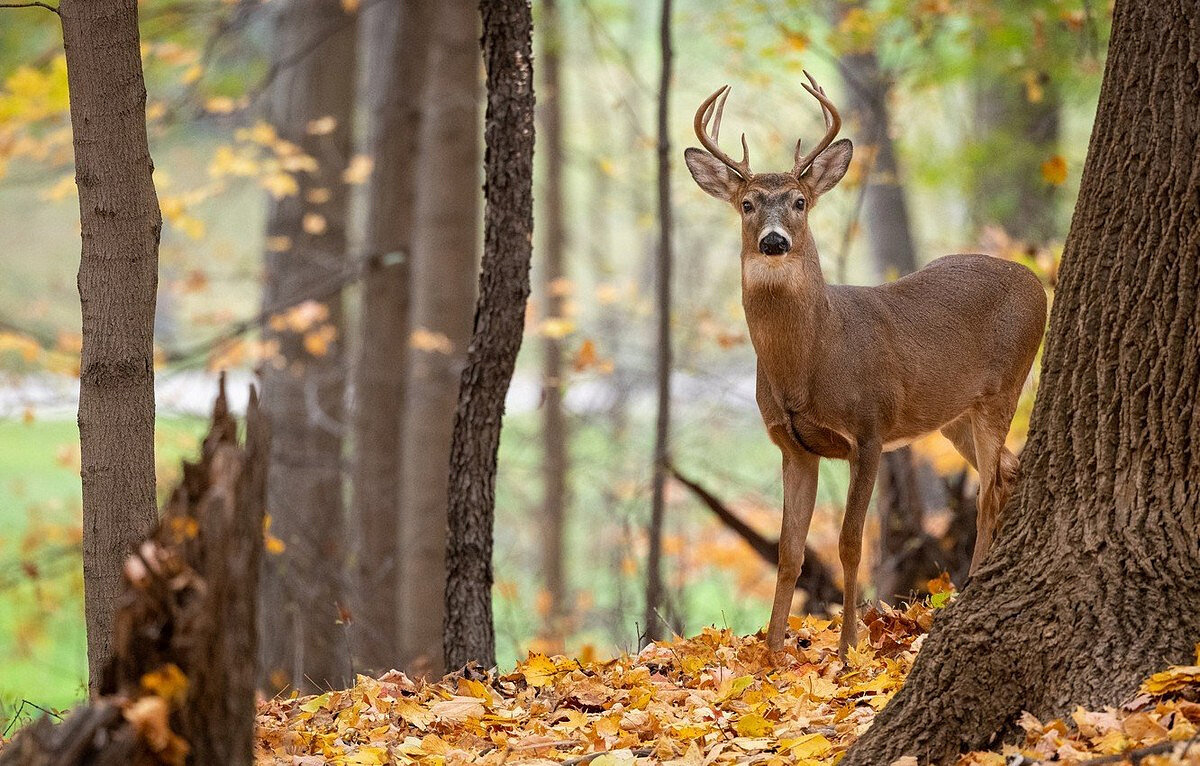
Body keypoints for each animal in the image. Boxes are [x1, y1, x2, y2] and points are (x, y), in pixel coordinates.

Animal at [691, 72, 1046, 662]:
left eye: (800, 201)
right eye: (746, 203)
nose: (773, 241)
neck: (810, 360)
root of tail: (1037, 283)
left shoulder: (870, 428)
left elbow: (851, 543)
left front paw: (848, 647)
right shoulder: (793, 446)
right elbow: (790, 551)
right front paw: (771, 654)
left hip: (1004, 386)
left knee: (991, 487)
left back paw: (970, 588)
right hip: (952, 417)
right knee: (1009, 472)